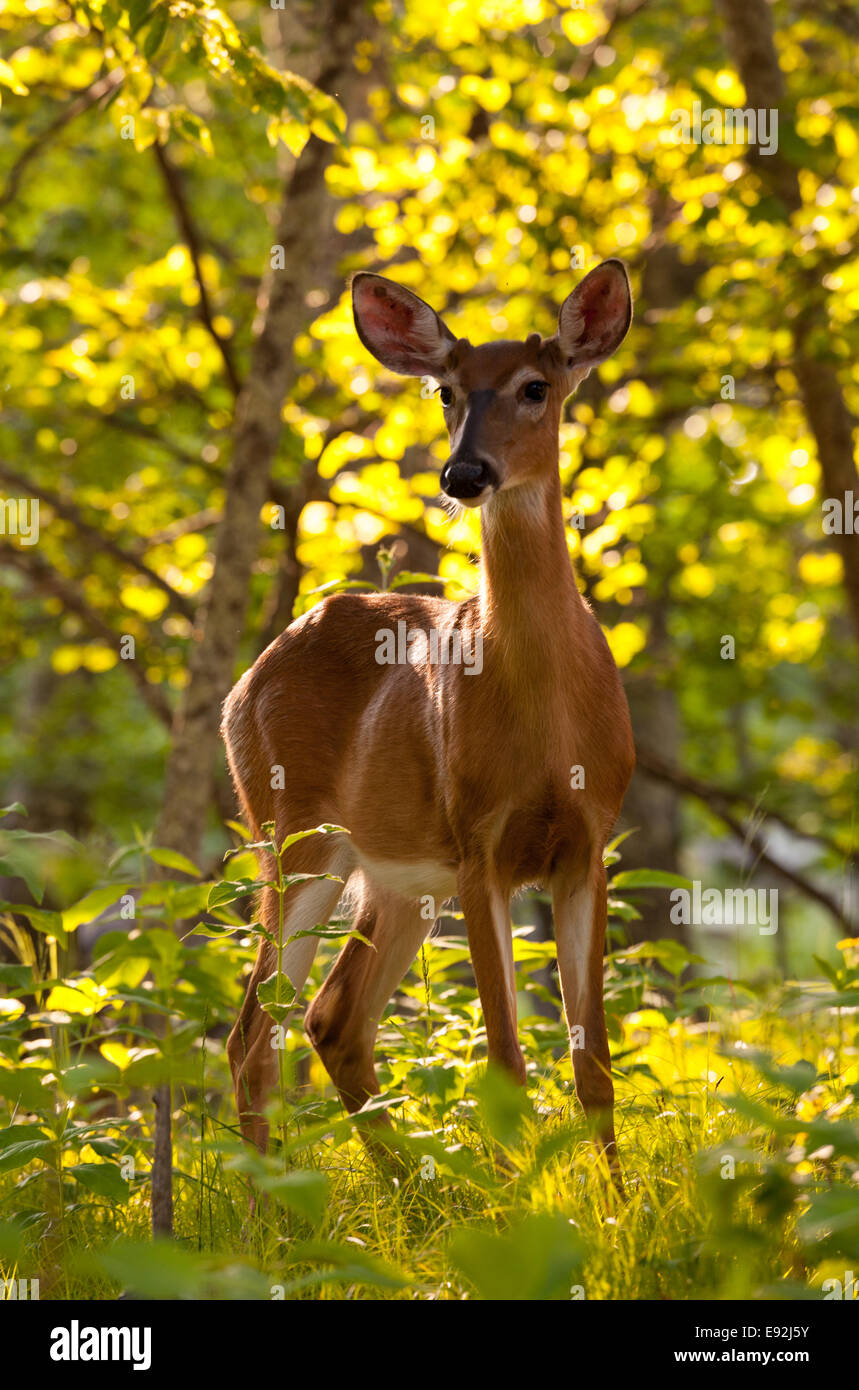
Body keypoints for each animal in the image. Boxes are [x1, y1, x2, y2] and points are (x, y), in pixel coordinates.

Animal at [223, 259, 636, 1178]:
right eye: (446, 391)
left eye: (534, 387)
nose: (462, 474)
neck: (549, 720)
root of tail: (245, 679)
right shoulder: (479, 840)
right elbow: (506, 1059)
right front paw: (528, 1201)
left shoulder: (587, 840)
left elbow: (591, 1063)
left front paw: (615, 1203)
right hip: (291, 832)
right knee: (255, 1030)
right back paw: (271, 1204)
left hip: (398, 878)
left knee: (330, 1016)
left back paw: (411, 1189)